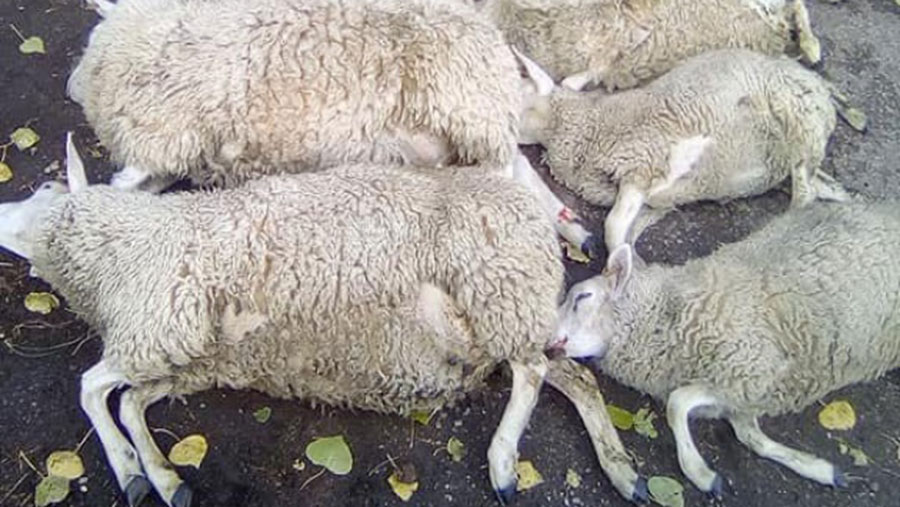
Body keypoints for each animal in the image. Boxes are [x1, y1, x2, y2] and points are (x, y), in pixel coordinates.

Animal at [0, 134, 645, 506]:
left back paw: (505, 460)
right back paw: (623, 472)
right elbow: (128, 400)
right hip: (507, 314)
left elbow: (90, 388)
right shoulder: (187, 359)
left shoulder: (162, 327)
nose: (1, 214)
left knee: (532, 372)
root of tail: (528, 209)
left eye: (42, 195)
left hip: (493, 282)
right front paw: (157, 477)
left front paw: (132, 467)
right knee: (570, 374)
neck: (131, 248)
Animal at [516, 48, 851, 252]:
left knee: (803, 196)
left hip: (798, 113)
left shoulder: (642, 164)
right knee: (819, 186)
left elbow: (612, 228)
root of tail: (820, 85)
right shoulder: (650, 198)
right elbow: (625, 232)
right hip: (795, 157)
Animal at [549, 199, 900, 496]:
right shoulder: (744, 393)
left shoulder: (752, 374)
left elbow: (677, 404)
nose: (547, 338)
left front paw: (700, 473)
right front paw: (821, 469)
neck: (671, 314)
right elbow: (749, 436)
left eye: (582, 297)